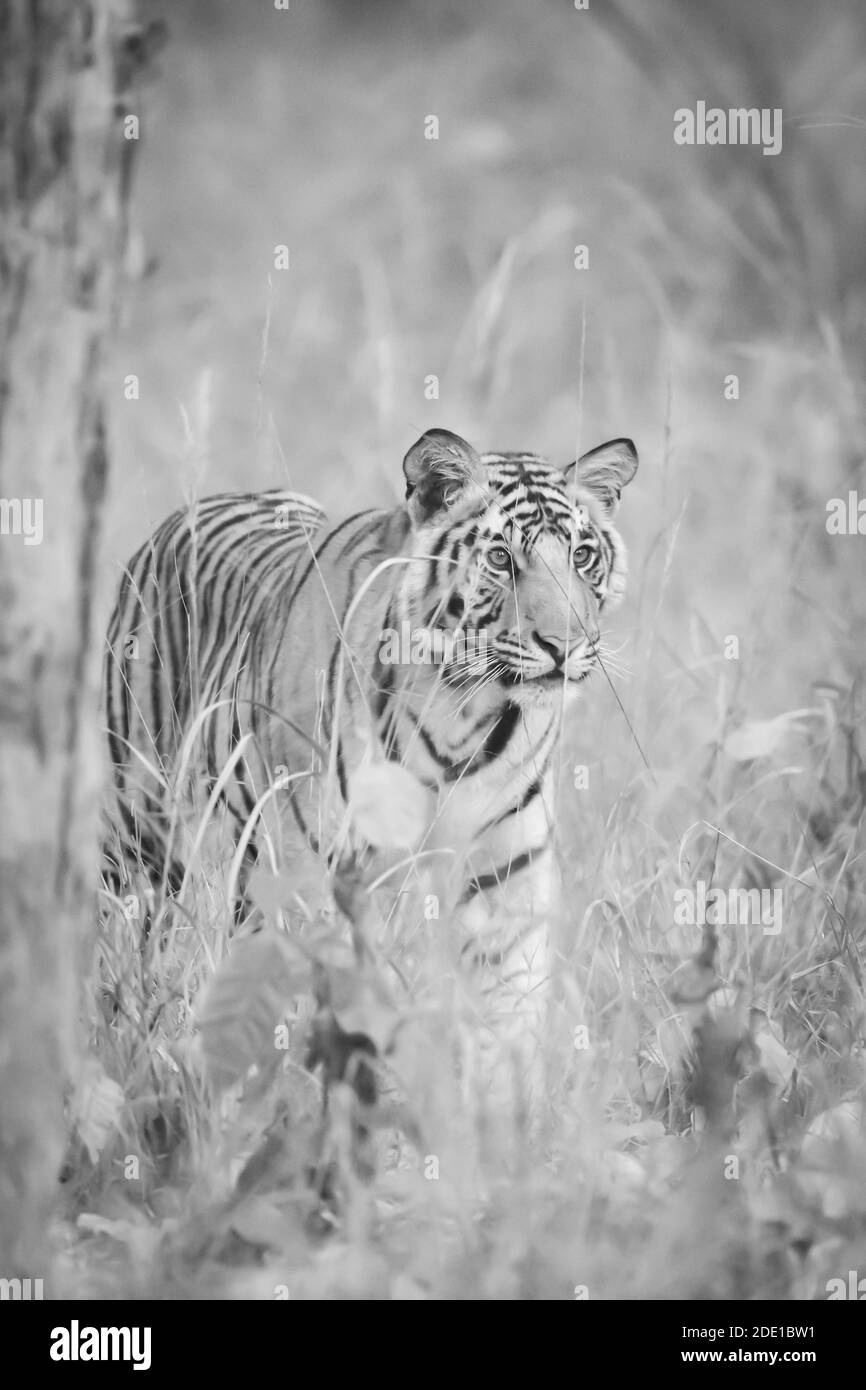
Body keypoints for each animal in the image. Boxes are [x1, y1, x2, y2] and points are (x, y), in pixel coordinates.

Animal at [103, 428, 638, 1091]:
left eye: (583, 556)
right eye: (500, 559)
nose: (565, 646)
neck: (464, 717)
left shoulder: (507, 885)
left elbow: (506, 1021)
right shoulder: (317, 875)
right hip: (144, 836)